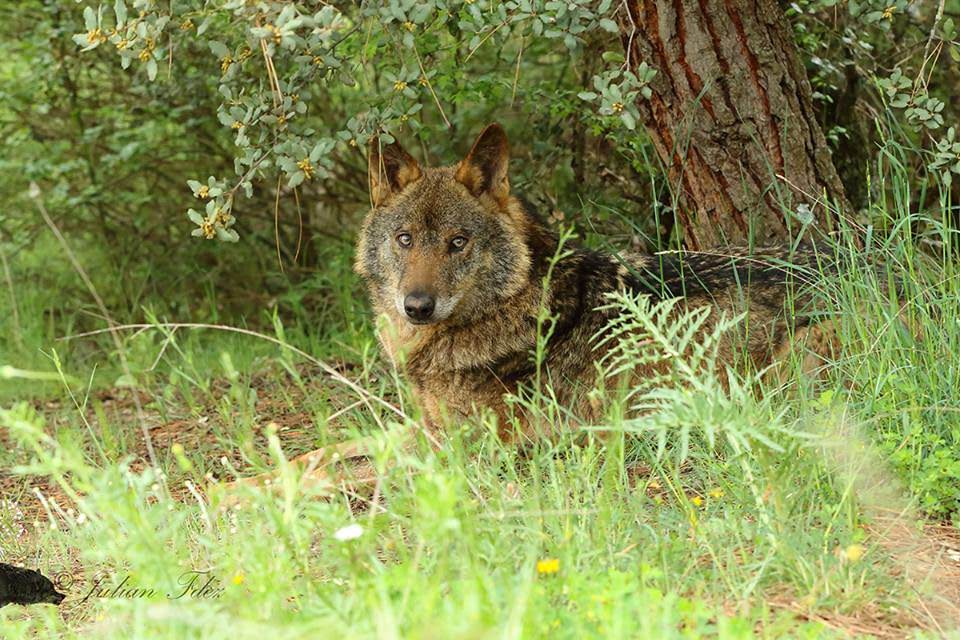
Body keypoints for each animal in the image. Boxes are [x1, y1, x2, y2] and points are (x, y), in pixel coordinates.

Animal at [217, 123, 837, 498]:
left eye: (458, 243)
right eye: (404, 239)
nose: (416, 307)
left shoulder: (457, 449)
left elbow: (327, 475)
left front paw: (233, 499)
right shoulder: (425, 426)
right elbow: (324, 453)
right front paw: (233, 481)